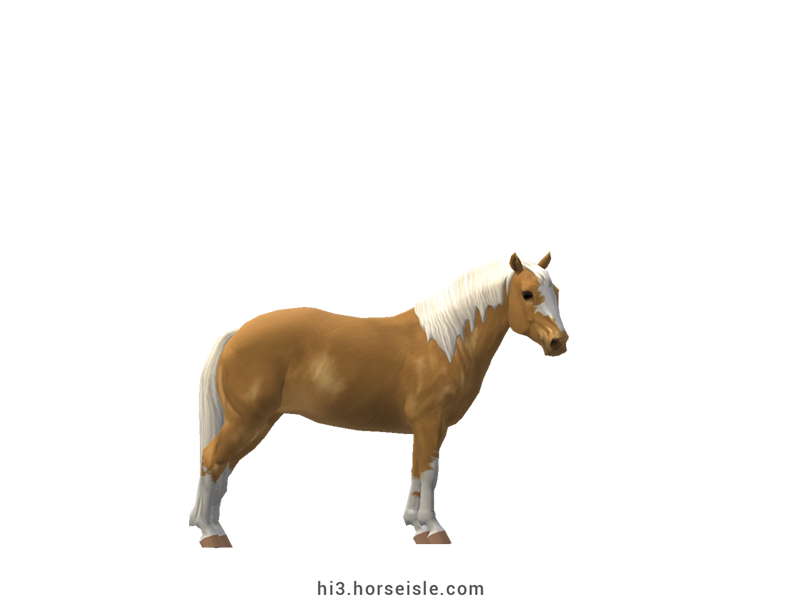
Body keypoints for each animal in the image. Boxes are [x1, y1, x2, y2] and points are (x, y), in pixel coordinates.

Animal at [189, 251, 568, 543]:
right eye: (527, 293)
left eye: (551, 289)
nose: (557, 341)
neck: (447, 343)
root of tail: (236, 334)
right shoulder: (429, 420)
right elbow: (429, 470)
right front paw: (433, 525)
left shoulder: (424, 425)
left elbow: (417, 470)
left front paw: (415, 525)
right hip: (245, 422)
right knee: (210, 459)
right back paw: (208, 530)